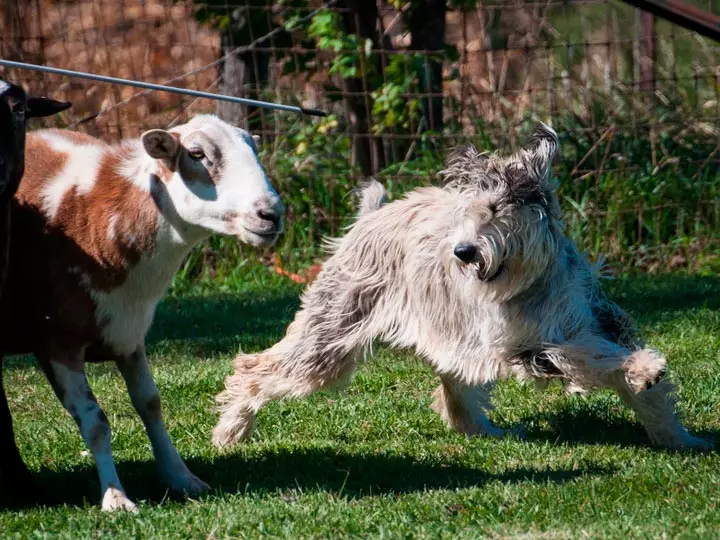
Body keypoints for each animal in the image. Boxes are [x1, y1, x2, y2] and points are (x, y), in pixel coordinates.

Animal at [0, 114, 284, 510]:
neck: (97, 218)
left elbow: (151, 404)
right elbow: (95, 422)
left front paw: (182, 478)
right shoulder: (56, 341)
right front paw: (116, 498)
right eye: (196, 154)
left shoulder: (127, 333)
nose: (270, 215)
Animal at [212, 124, 708, 450]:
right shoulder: (530, 347)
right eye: (463, 211)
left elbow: (628, 373)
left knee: (455, 392)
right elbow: (590, 356)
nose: (463, 252)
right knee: (254, 368)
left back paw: (486, 430)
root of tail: (369, 218)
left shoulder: (593, 317)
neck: (529, 284)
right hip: (330, 336)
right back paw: (230, 430)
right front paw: (643, 370)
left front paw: (678, 437)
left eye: (495, 208)